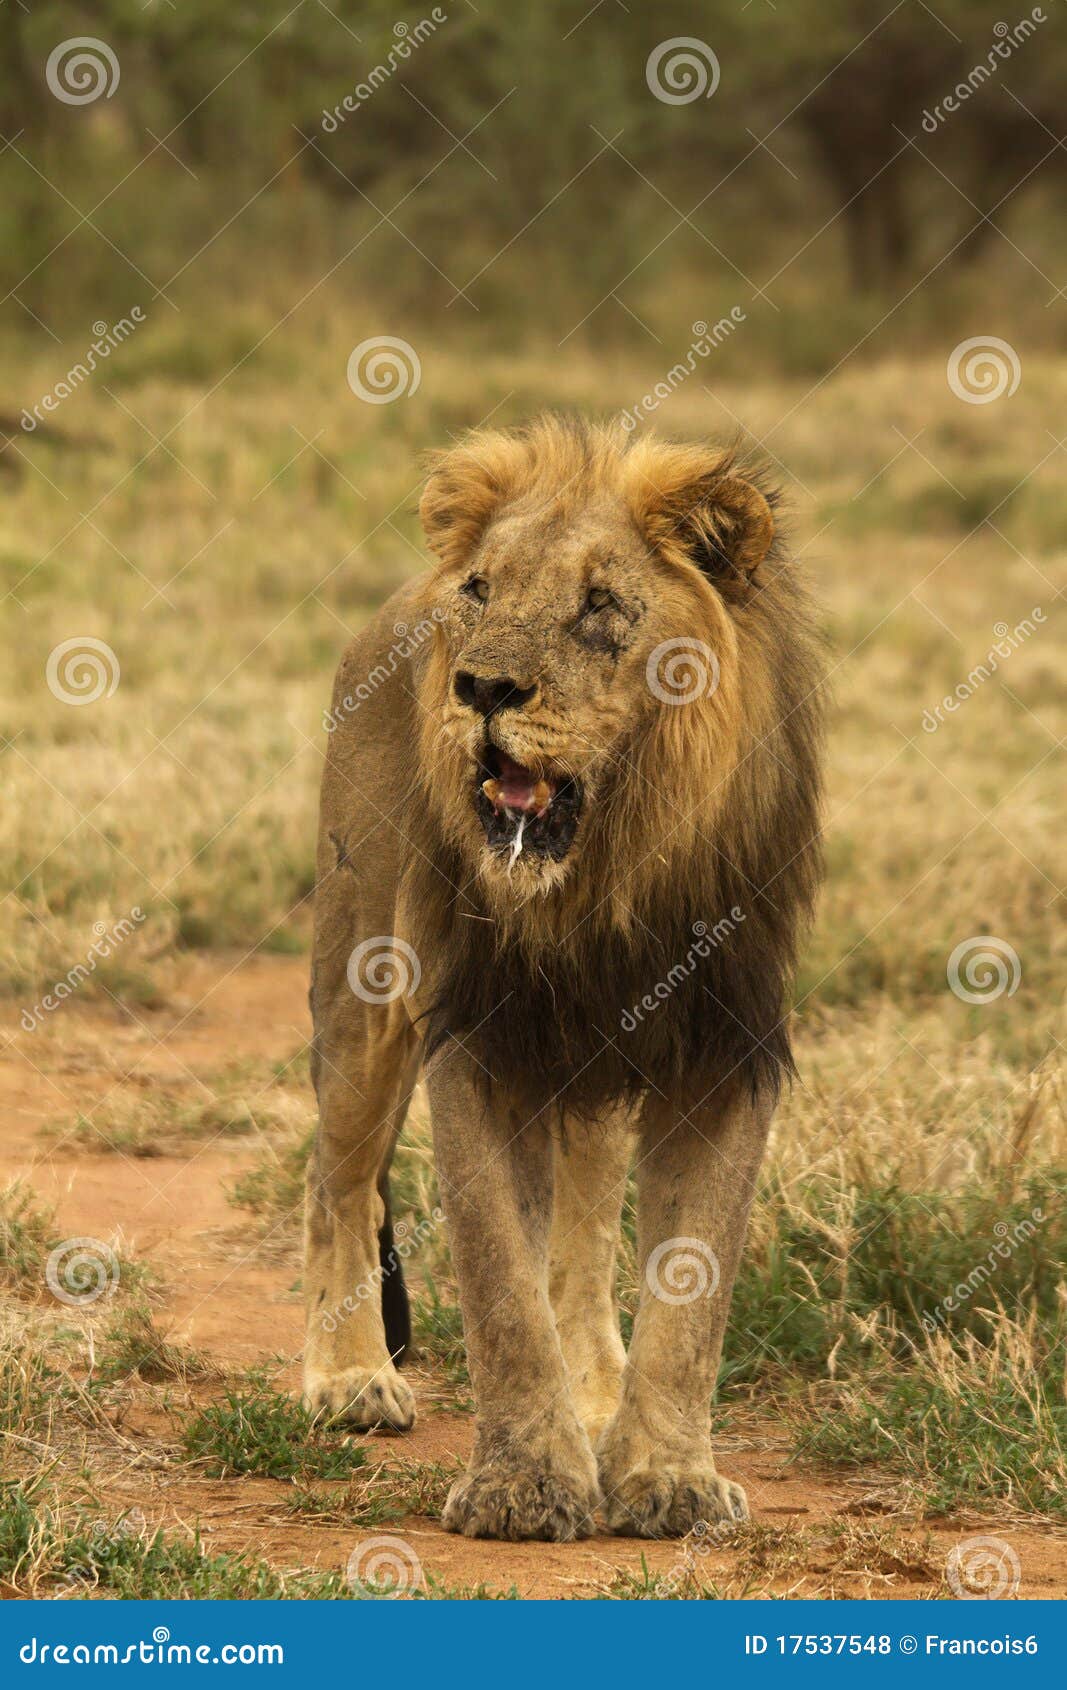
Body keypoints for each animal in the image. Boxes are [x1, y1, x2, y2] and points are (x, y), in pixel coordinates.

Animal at [303, 414, 824, 1541]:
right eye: (481, 592)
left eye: (598, 606)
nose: (483, 690)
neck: (603, 887)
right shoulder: (479, 1042)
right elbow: (501, 1283)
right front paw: (523, 1485)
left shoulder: (722, 1056)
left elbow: (689, 1291)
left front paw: (667, 1477)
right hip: (363, 994)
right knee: (337, 1179)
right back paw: (347, 1376)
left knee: (583, 1238)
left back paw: (594, 1390)